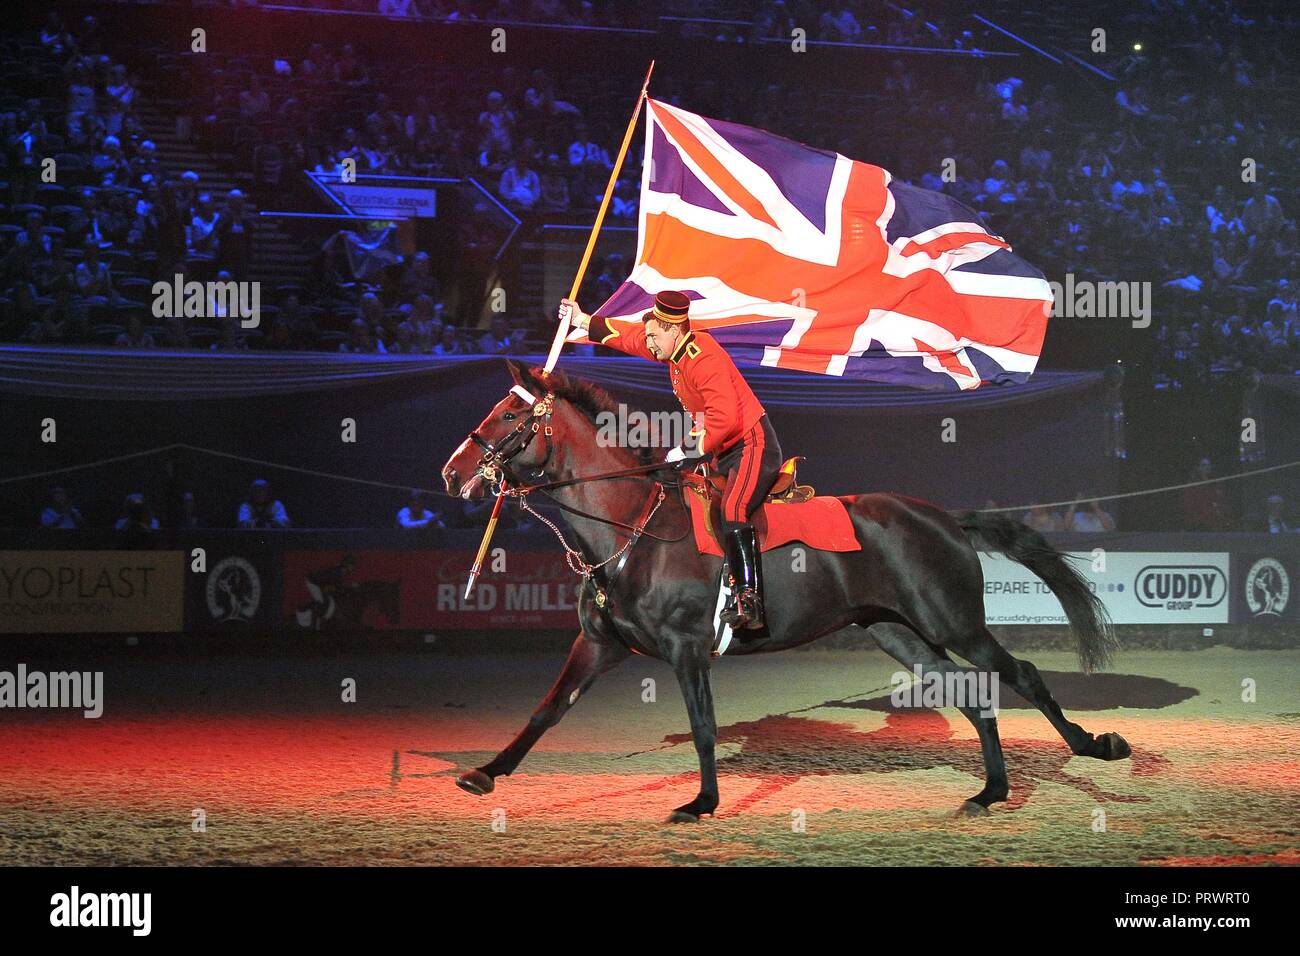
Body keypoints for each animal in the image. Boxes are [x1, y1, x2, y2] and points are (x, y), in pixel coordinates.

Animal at [440, 360, 1131, 822]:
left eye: (509, 415)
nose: (451, 473)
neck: (632, 527)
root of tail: (942, 517)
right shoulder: (598, 645)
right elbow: (546, 710)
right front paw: (486, 774)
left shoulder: (687, 649)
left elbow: (704, 725)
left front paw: (702, 802)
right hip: (898, 633)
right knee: (971, 693)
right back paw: (990, 792)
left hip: (952, 622)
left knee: (1022, 675)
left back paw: (1093, 747)